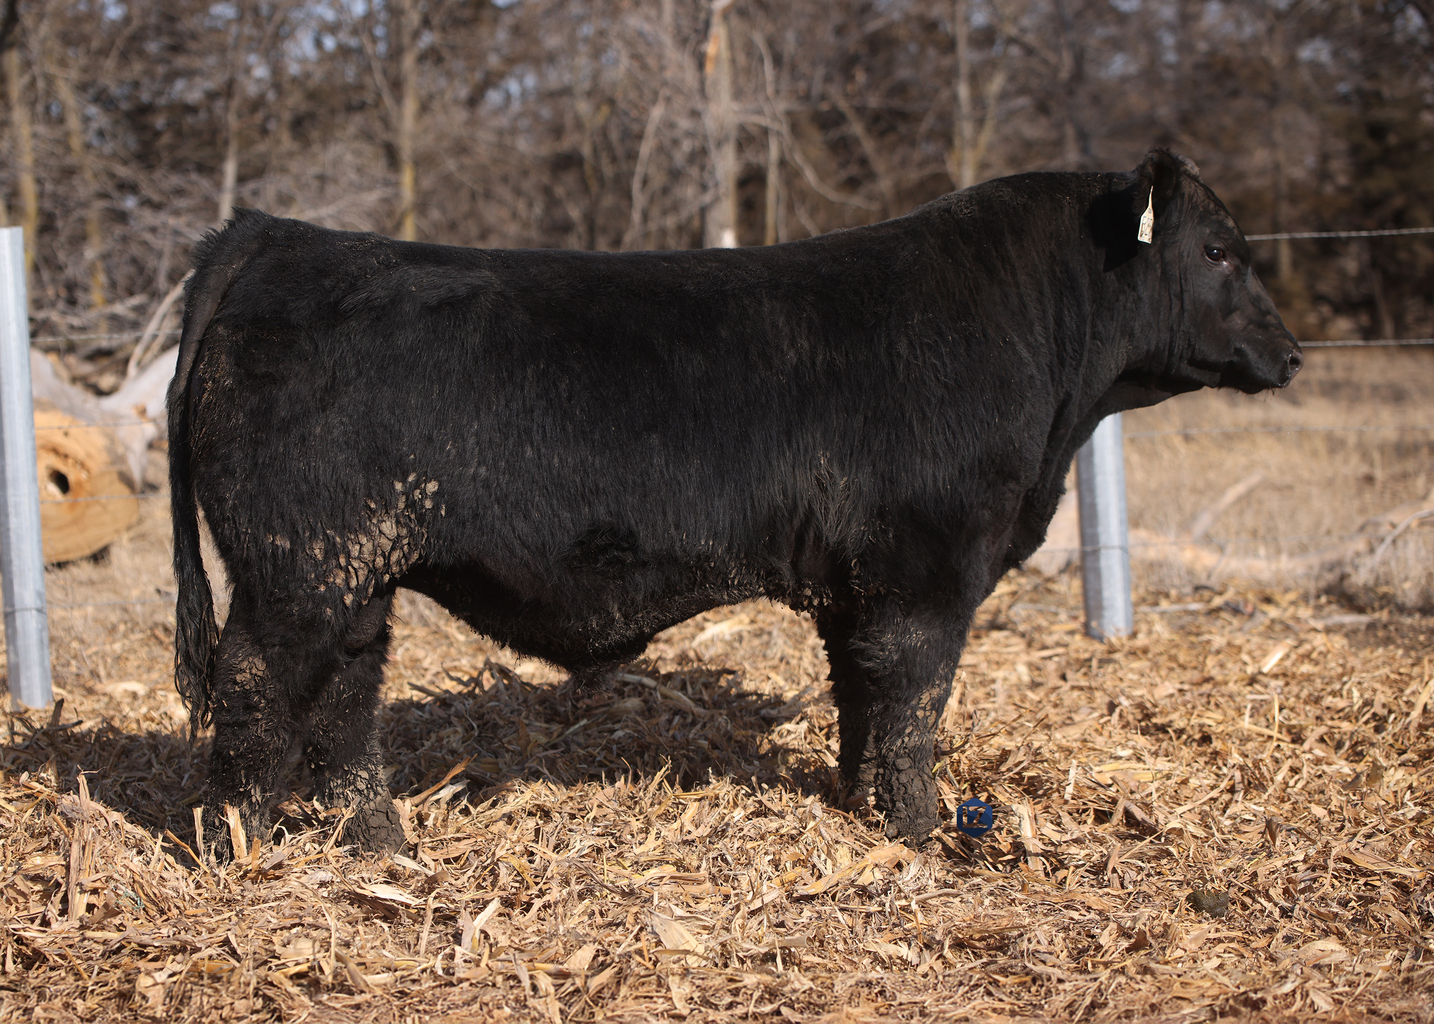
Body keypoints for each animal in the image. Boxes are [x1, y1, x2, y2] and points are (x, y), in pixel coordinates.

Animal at [168, 150, 1300, 860]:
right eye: (1217, 250)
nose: (1291, 351)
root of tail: (277, 235)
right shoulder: (928, 571)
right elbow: (914, 704)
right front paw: (921, 835)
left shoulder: (862, 586)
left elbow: (863, 699)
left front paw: (861, 811)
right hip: (299, 567)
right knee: (257, 686)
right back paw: (237, 853)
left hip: (353, 578)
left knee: (344, 700)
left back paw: (381, 848)